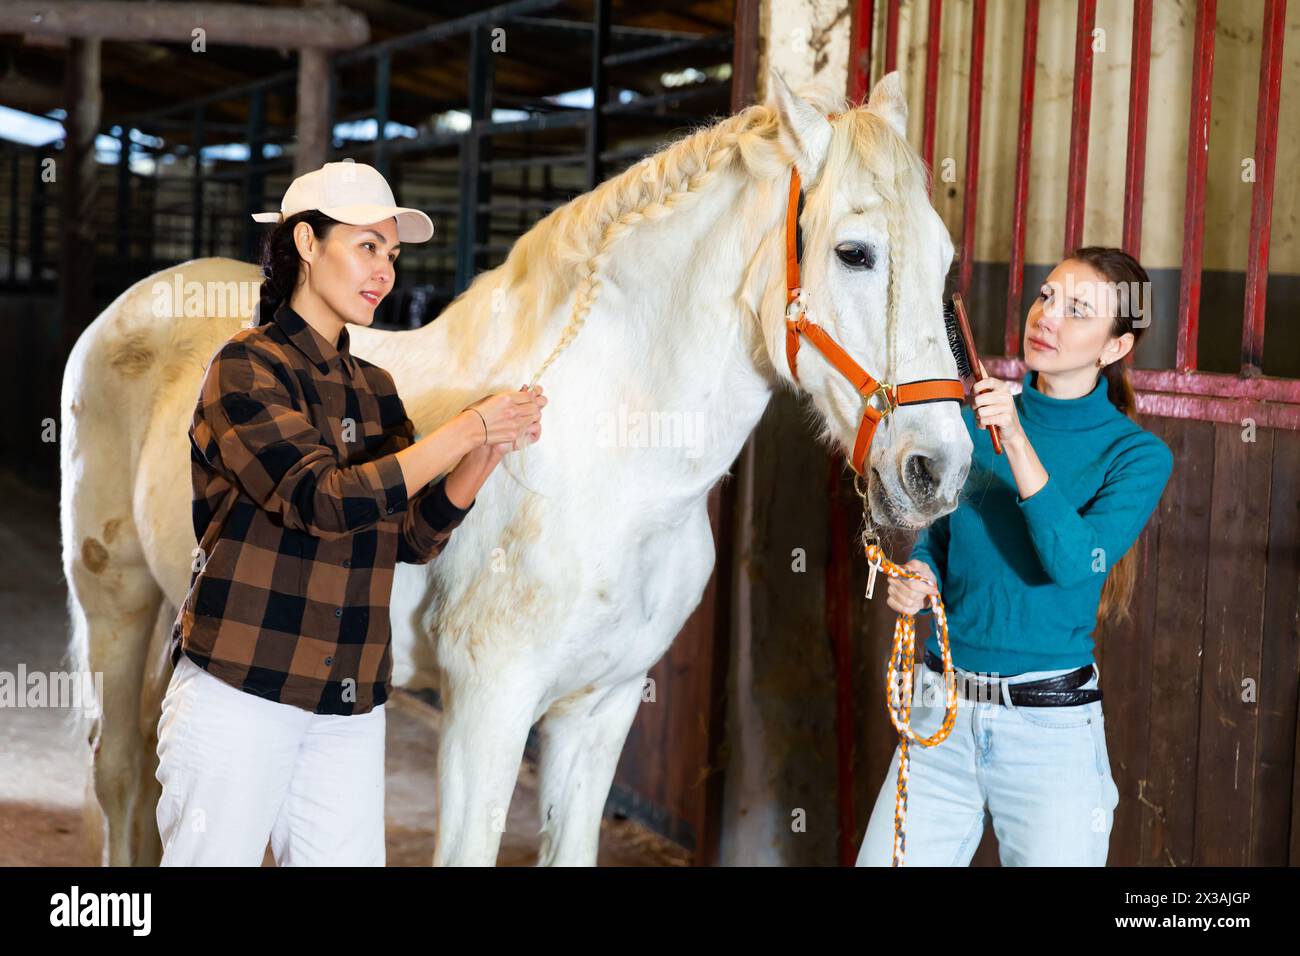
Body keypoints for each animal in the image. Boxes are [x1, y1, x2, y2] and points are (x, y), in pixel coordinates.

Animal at [59, 70, 972, 866]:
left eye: (946, 257)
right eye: (854, 253)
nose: (939, 468)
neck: (614, 476)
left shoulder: (599, 709)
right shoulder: (487, 708)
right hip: (116, 603)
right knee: (121, 775)